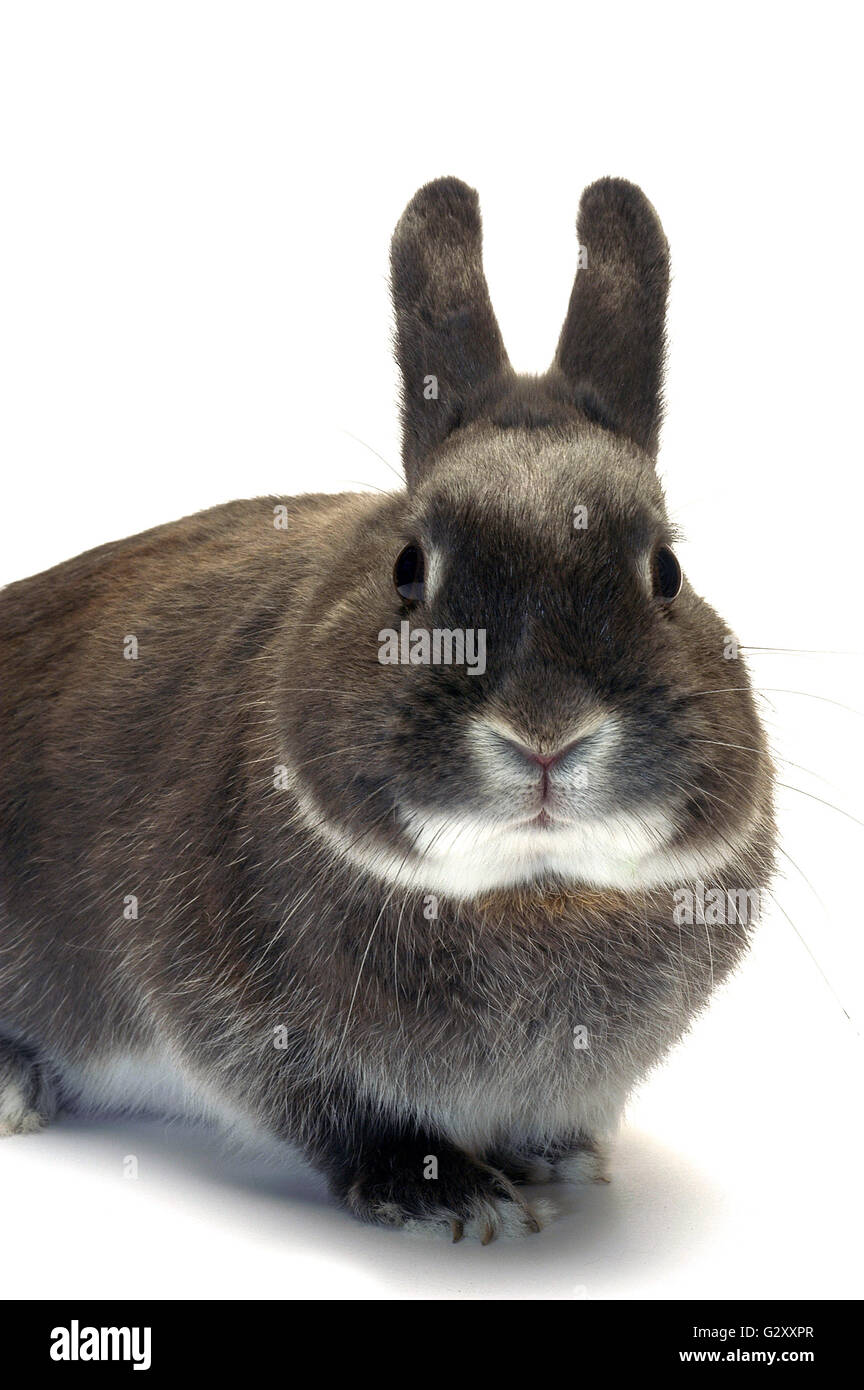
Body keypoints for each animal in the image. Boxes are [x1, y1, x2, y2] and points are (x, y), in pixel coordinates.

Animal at [0, 176, 775, 1242]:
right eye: (409, 568)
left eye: (666, 572)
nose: (546, 732)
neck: (529, 890)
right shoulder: (246, 1026)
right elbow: (342, 1119)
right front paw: (452, 1200)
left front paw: (562, 1161)